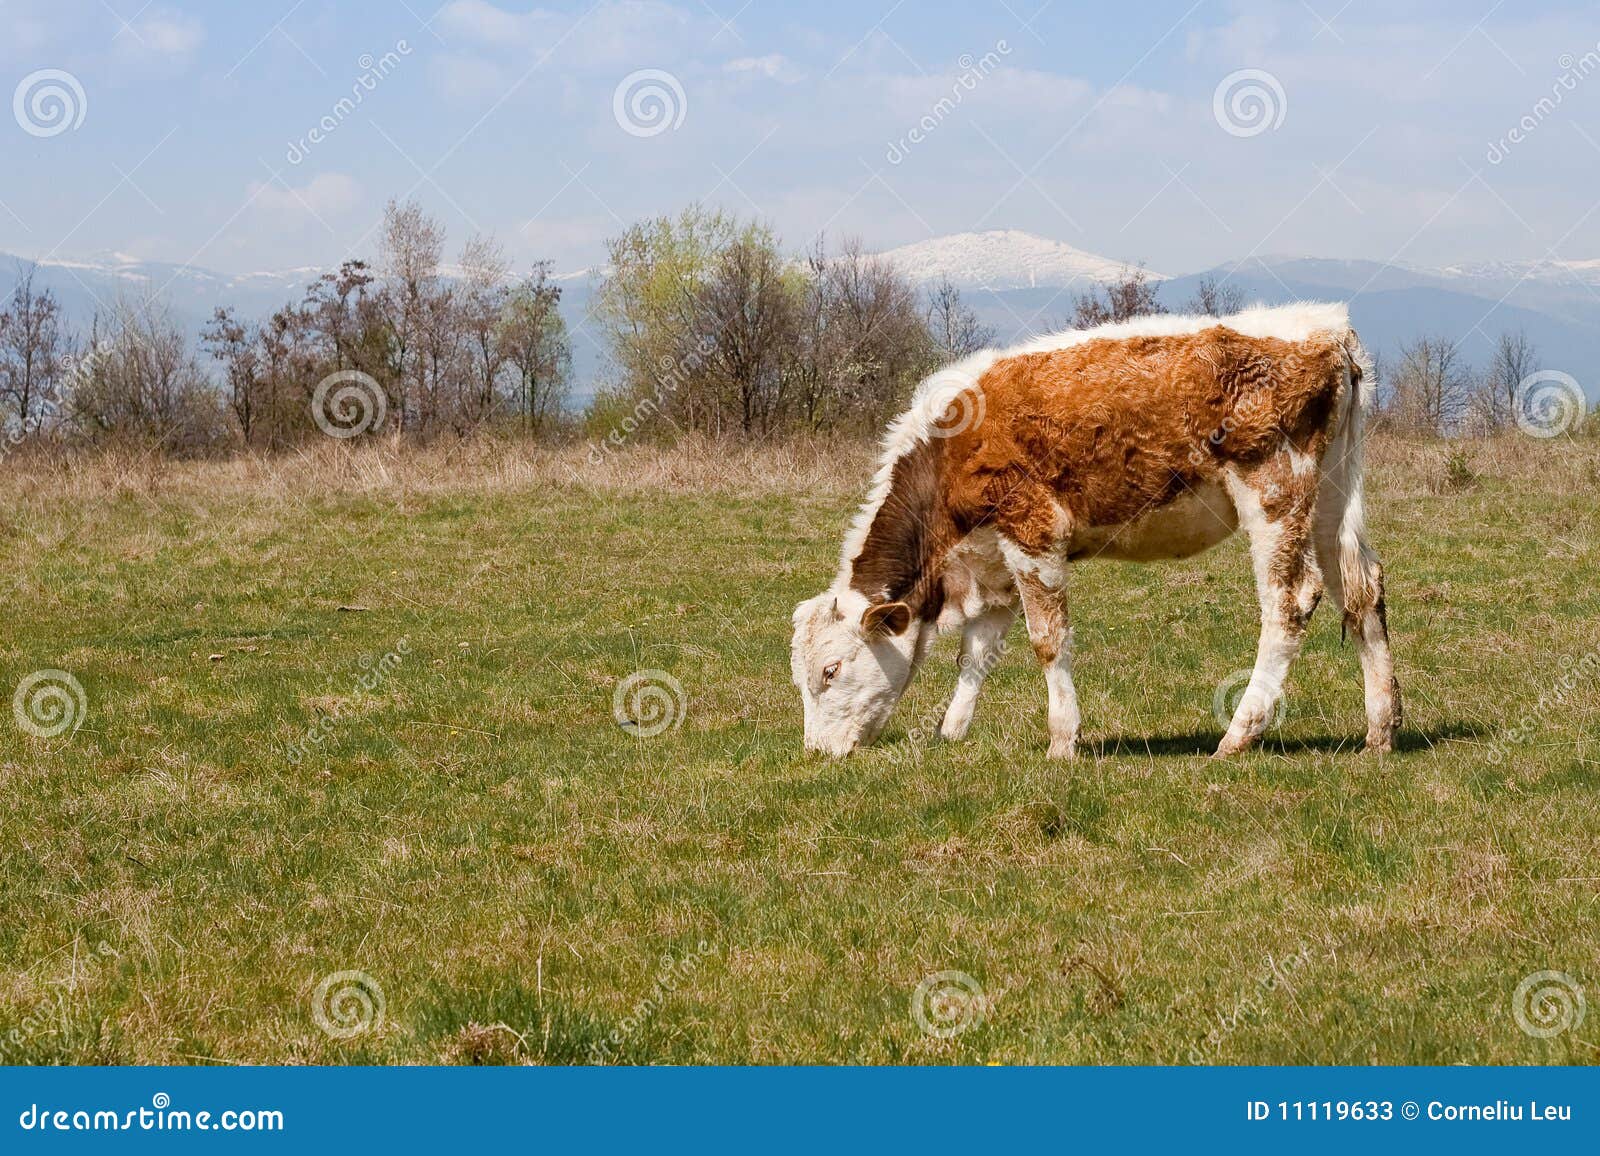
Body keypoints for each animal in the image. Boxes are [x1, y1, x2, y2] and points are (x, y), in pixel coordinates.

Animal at [791, 302, 1401, 759]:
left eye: (830, 669)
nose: (817, 753)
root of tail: (1325, 324)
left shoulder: (1033, 530)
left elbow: (1048, 640)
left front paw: (1063, 741)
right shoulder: (992, 565)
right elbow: (977, 653)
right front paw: (952, 732)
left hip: (1274, 490)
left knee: (1289, 602)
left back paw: (1237, 735)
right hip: (1331, 494)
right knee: (1362, 589)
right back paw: (1380, 731)